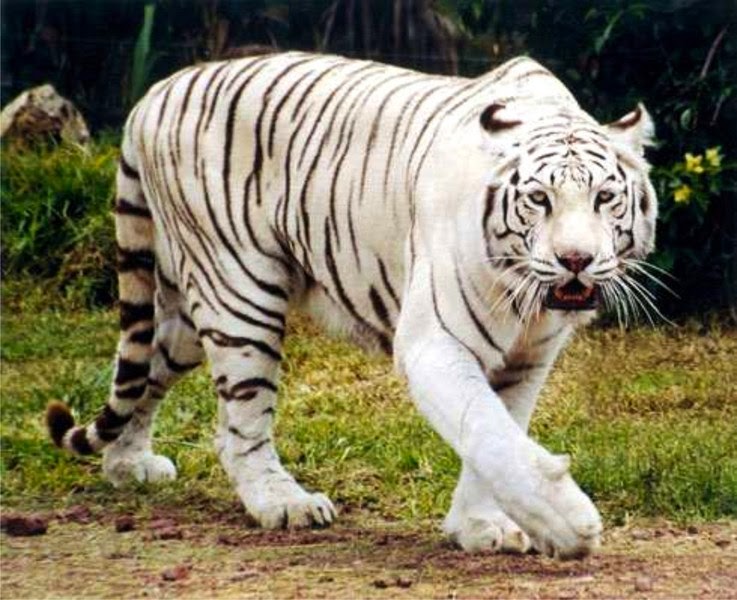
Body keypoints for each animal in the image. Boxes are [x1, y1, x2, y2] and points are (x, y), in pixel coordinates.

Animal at [47, 51, 657, 559]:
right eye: (538, 199)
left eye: (605, 197)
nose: (575, 259)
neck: (526, 299)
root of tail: (153, 94)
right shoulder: (435, 342)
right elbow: (487, 430)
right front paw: (567, 523)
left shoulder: (529, 358)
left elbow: (495, 437)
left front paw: (479, 527)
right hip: (239, 292)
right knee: (239, 424)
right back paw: (283, 503)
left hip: (185, 321)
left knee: (144, 372)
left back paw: (128, 465)